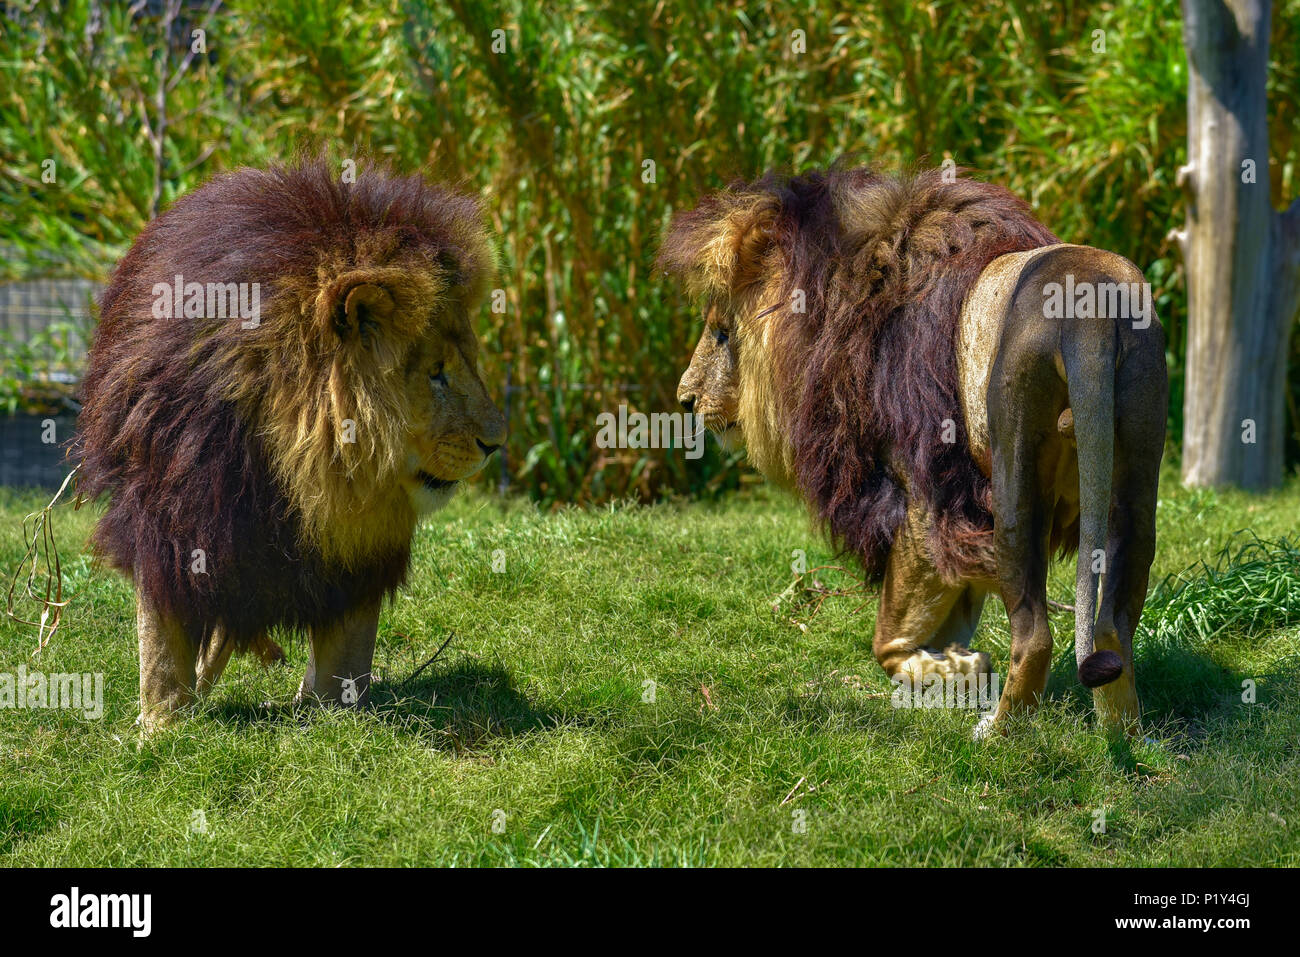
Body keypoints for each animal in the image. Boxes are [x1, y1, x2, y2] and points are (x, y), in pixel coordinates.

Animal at [73, 158, 506, 730]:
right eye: (435, 373)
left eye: (469, 364)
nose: (496, 442)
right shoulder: (173, 516)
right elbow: (162, 643)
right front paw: (162, 728)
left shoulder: (359, 547)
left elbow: (346, 647)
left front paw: (332, 715)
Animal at [659, 166, 1167, 734]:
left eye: (722, 334)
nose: (685, 398)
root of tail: (1090, 316)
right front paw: (951, 662)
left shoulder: (923, 485)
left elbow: (893, 624)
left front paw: (936, 667)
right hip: (1137, 443)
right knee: (1113, 622)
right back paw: (1124, 730)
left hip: (1014, 478)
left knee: (1034, 635)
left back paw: (996, 732)